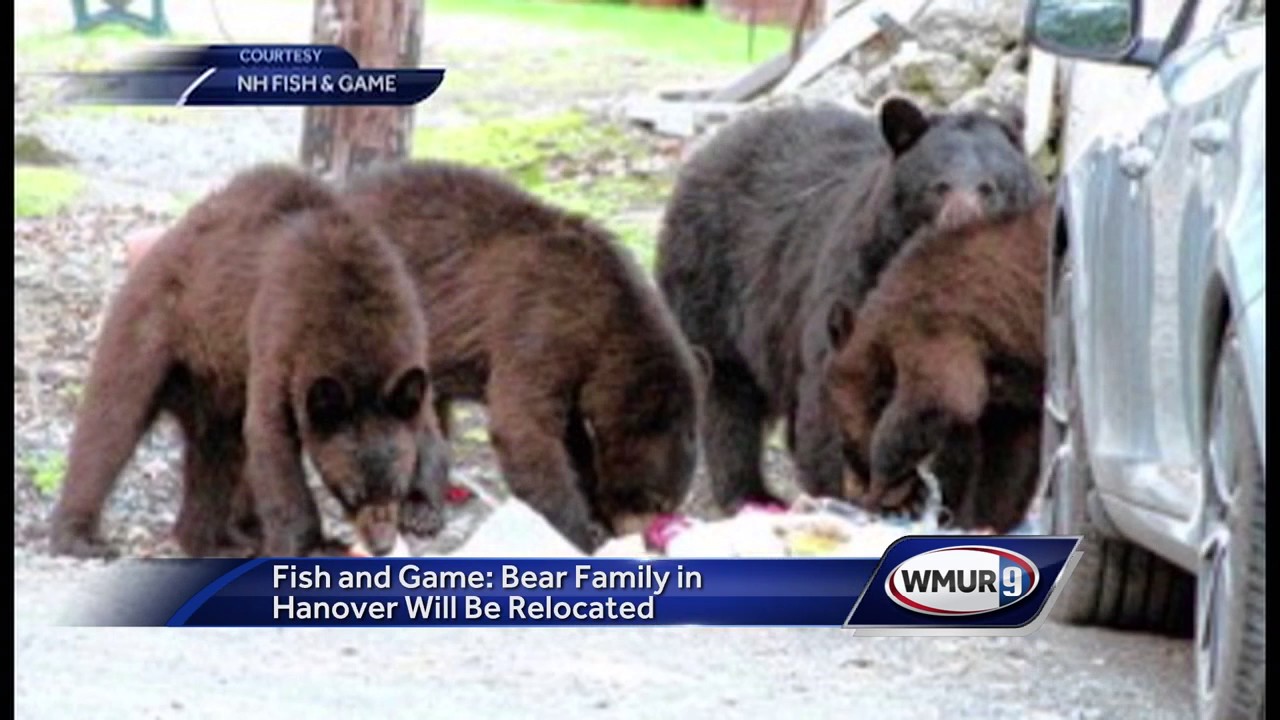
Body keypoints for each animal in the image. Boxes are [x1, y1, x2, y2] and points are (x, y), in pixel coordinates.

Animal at [49, 164, 448, 559]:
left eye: (395, 488)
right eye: (351, 493)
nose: (381, 545)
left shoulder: (411, 346)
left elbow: (427, 424)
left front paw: (422, 510)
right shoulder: (280, 336)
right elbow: (271, 437)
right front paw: (312, 545)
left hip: (215, 383)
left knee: (218, 452)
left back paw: (218, 541)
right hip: (154, 325)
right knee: (112, 419)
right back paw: (78, 535)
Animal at [341, 160, 705, 553]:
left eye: (668, 501)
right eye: (655, 499)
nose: (650, 535)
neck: (604, 314)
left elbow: (570, 438)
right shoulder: (539, 323)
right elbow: (524, 429)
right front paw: (581, 534)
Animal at [824, 199, 1054, 532]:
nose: (852, 483)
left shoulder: (935, 326)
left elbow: (942, 396)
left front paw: (884, 492)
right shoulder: (1012, 391)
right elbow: (1008, 461)